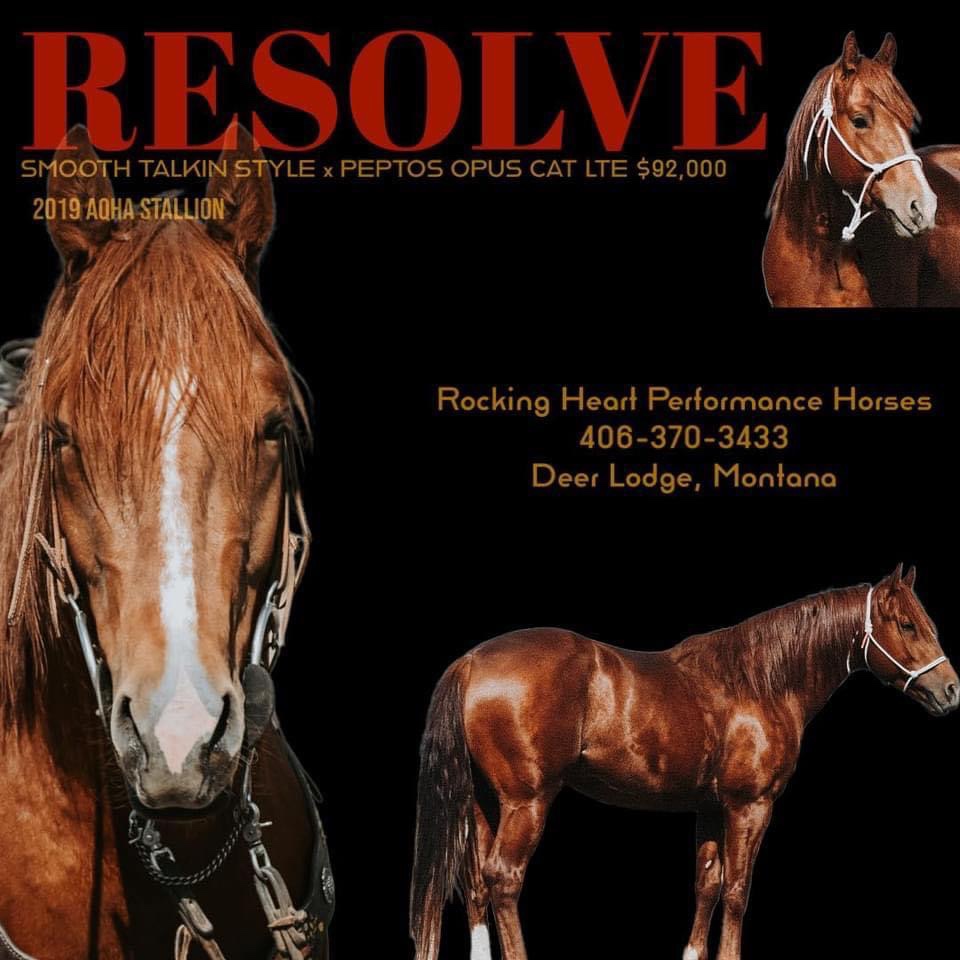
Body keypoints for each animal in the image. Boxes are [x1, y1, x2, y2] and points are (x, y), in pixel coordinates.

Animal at [410, 565, 957, 960]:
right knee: (503, 879)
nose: (951, 690)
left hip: (483, 803)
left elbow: (707, 887)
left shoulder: (710, 808)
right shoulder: (749, 806)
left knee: (476, 885)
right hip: (527, 802)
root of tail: (471, 661)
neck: (759, 681)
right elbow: (736, 891)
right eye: (907, 625)